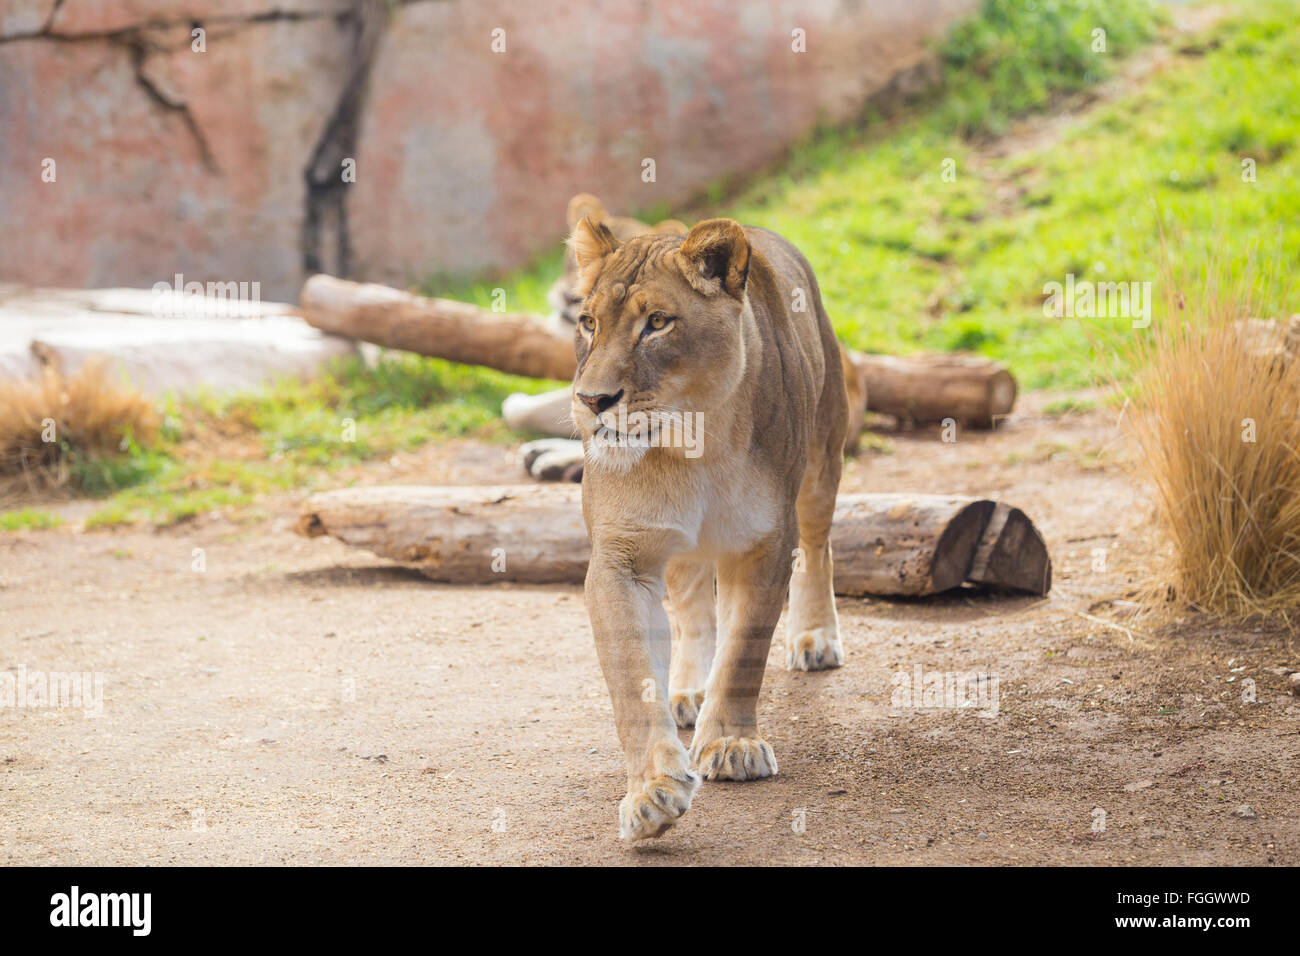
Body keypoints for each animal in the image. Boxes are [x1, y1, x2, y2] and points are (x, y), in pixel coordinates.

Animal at [568, 214, 849, 840]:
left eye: (657, 322)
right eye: (588, 322)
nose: (592, 401)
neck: (691, 443)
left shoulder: (766, 544)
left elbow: (744, 650)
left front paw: (731, 746)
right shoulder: (622, 558)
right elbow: (633, 681)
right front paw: (651, 792)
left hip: (824, 457)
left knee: (818, 546)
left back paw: (815, 637)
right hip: (684, 547)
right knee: (694, 602)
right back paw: (690, 687)